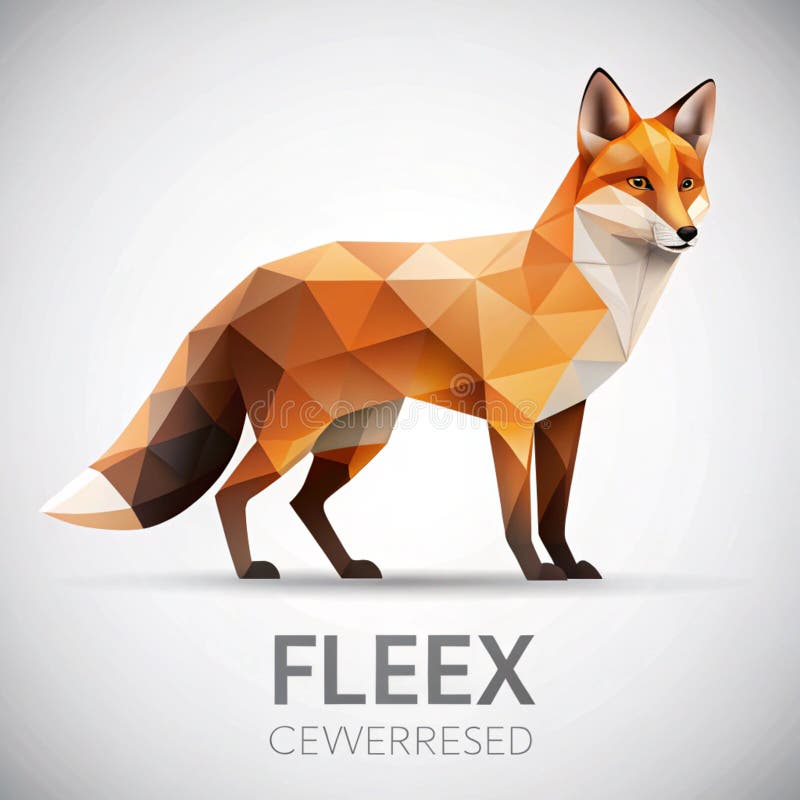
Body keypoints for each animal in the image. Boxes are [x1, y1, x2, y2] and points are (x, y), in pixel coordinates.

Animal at [42, 68, 715, 580]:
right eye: (637, 183)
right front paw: (536, 572)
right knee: (231, 494)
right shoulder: (512, 418)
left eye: (686, 184)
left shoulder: (564, 418)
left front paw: (569, 566)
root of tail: (255, 277)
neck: (591, 289)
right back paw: (250, 571)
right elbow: (517, 515)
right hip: (294, 433)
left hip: (357, 437)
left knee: (303, 504)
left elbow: (556, 511)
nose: (687, 233)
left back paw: (347, 569)